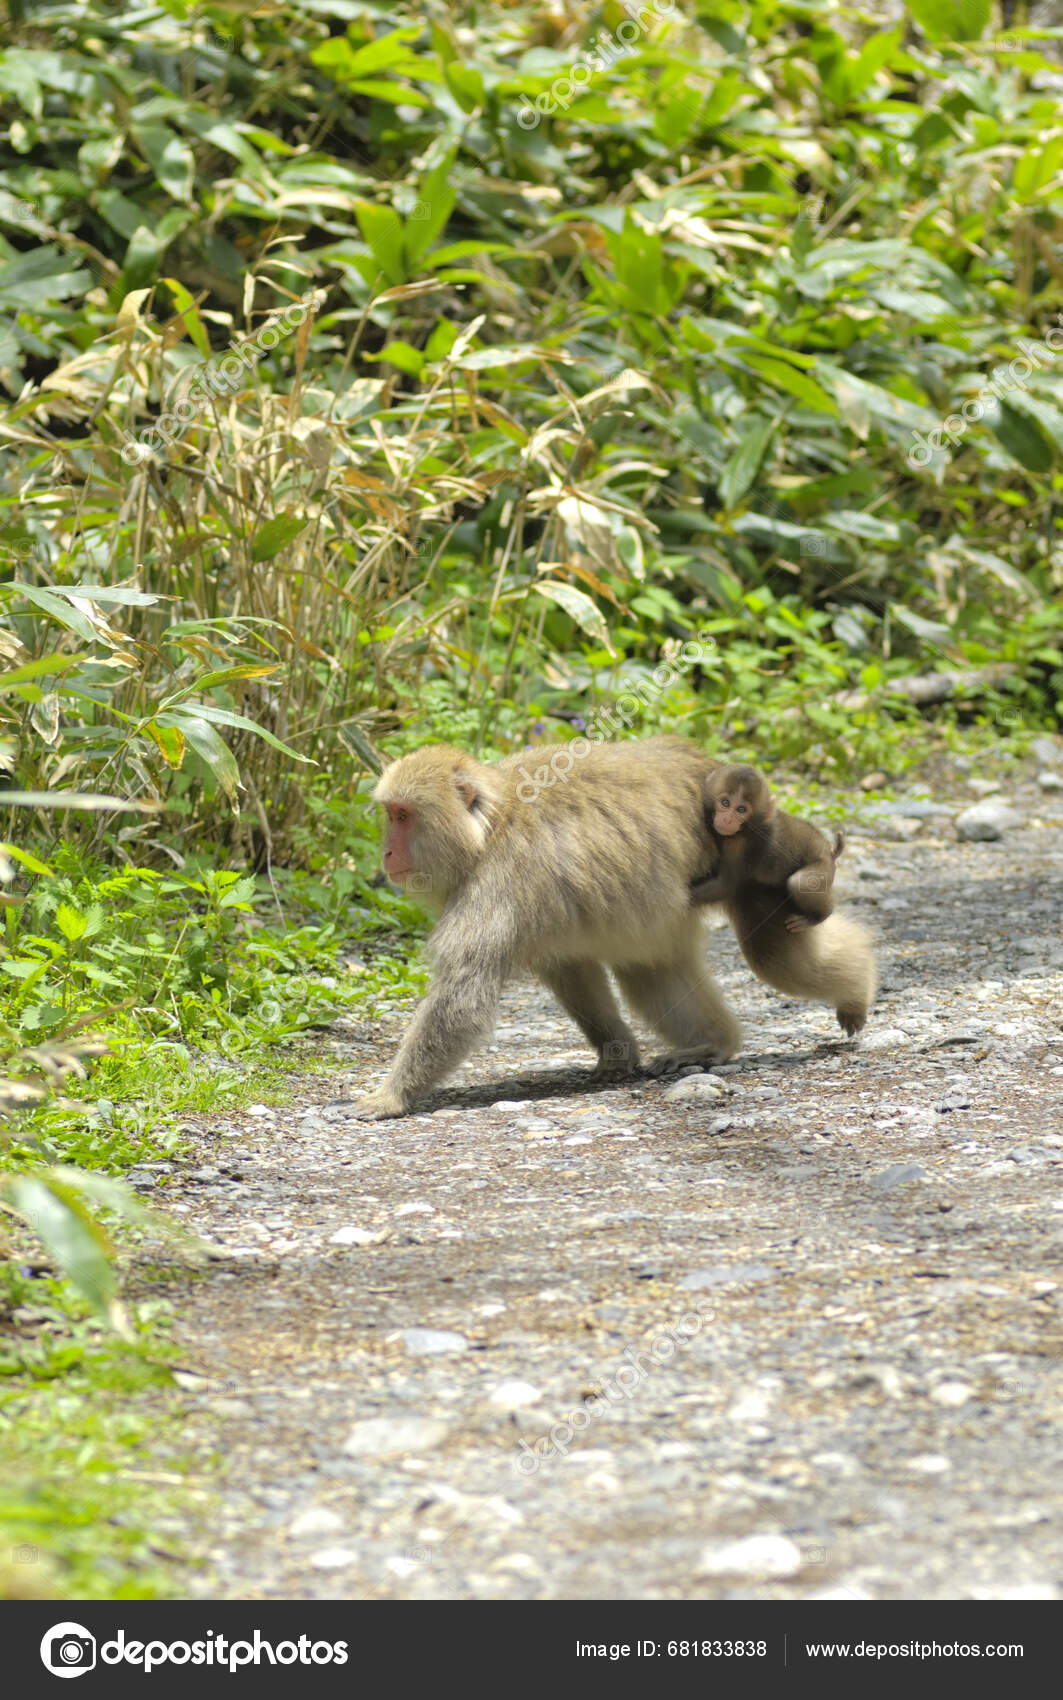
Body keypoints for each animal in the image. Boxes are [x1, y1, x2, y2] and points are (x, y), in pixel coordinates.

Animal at [352, 736, 741, 1117]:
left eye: (404, 815)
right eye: (391, 814)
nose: (387, 853)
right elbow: (569, 967)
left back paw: (711, 1046)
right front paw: (617, 1050)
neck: (488, 831)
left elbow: (463, 998)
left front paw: (390, 1097)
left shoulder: (495, 882)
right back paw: (714, 1041)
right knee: (649, 967)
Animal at [690, 764, 876, 1037]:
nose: (727, 819)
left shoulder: (739, 844)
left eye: (741, 809)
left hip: (821, 870)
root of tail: (830, 852)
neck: (746, 828)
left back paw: (817, 916)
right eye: (724, 802)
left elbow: (726, 885)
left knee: (799, 884)